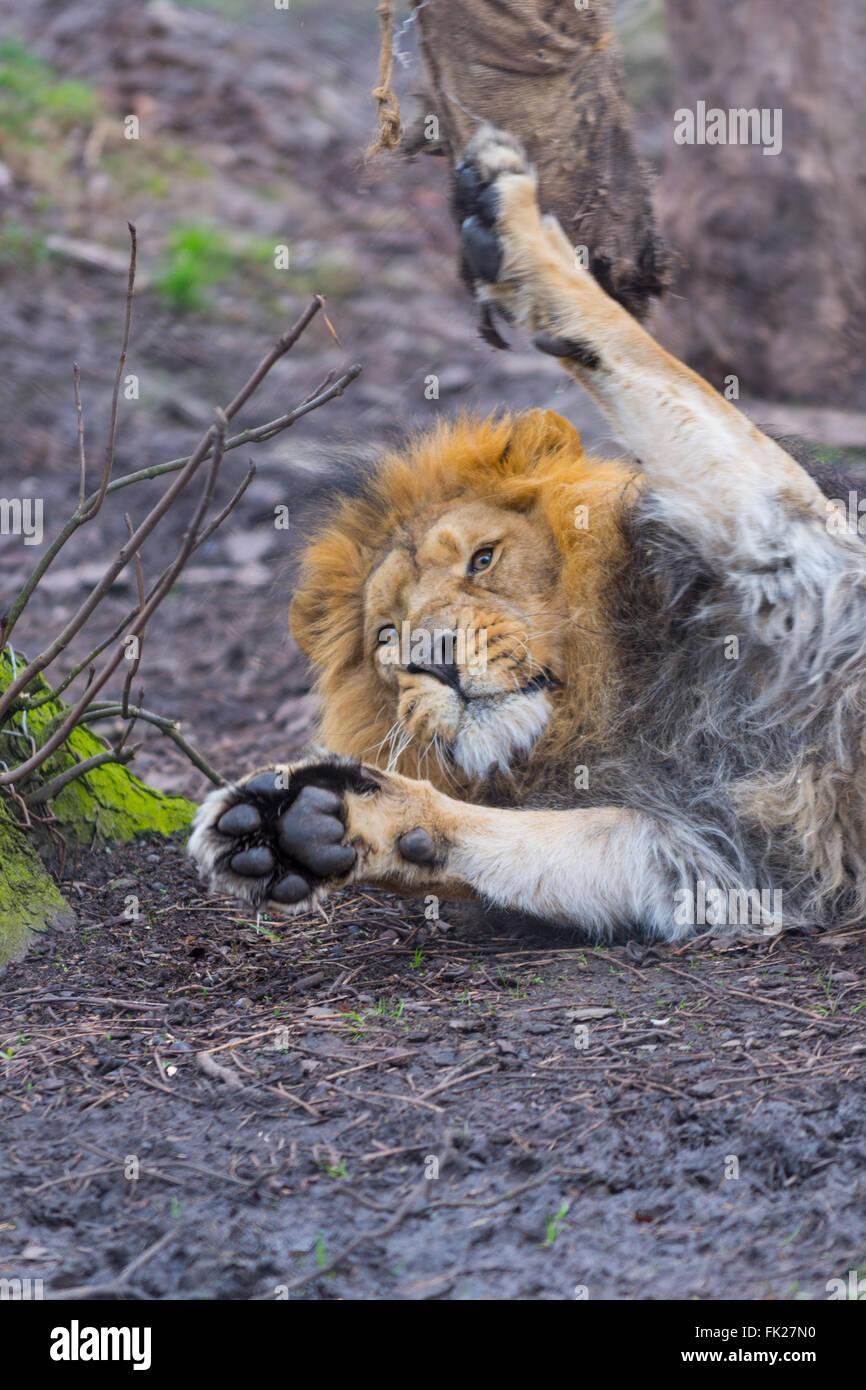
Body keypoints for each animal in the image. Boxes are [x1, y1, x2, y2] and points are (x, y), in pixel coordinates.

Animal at [189, 126, 866, 941]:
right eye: (386, 634)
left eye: (483, 560)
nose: (433, 659)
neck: (617, 705)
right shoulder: (726, 856)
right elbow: (554, 836)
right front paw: (305, 823)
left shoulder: (812, 573)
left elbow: (660, 369)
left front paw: (513, 233)